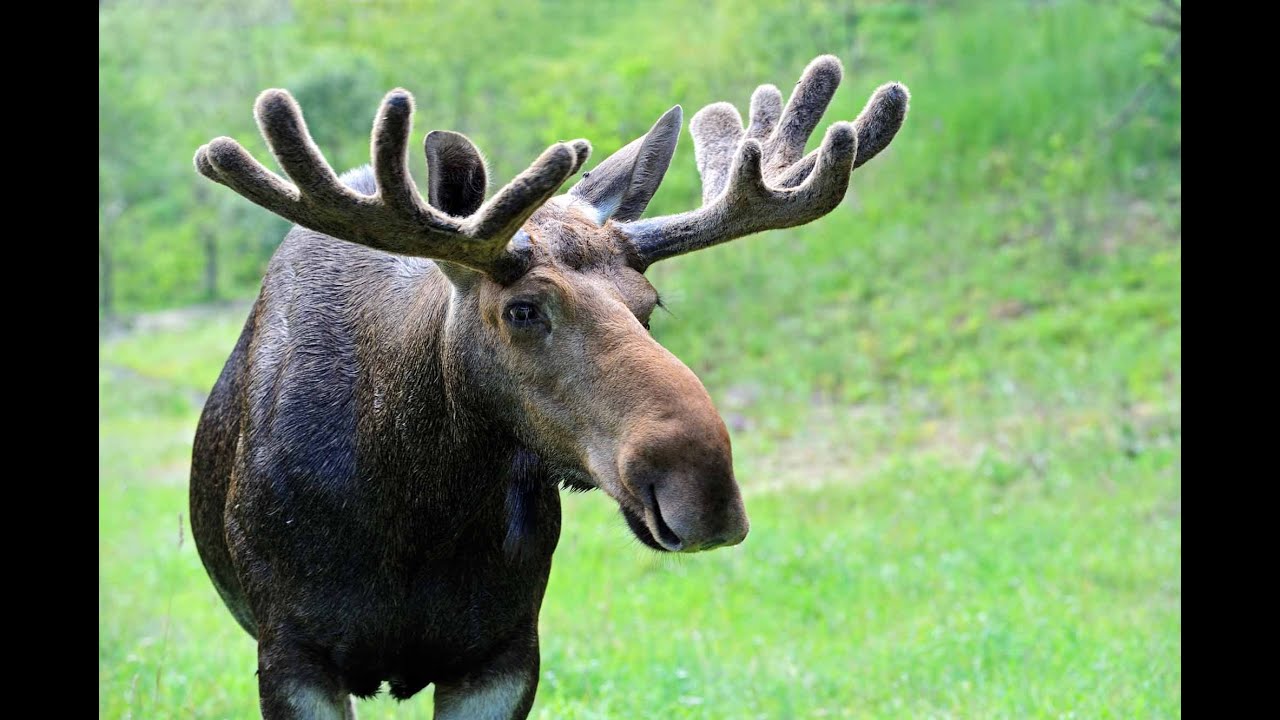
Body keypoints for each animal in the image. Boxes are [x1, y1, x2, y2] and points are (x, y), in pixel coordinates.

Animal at [189, 55, 908, 719]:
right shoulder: (293, 654)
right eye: (523, 310)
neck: (414, 506)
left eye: (649, 304)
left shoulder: (504, 653)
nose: (703, 488)